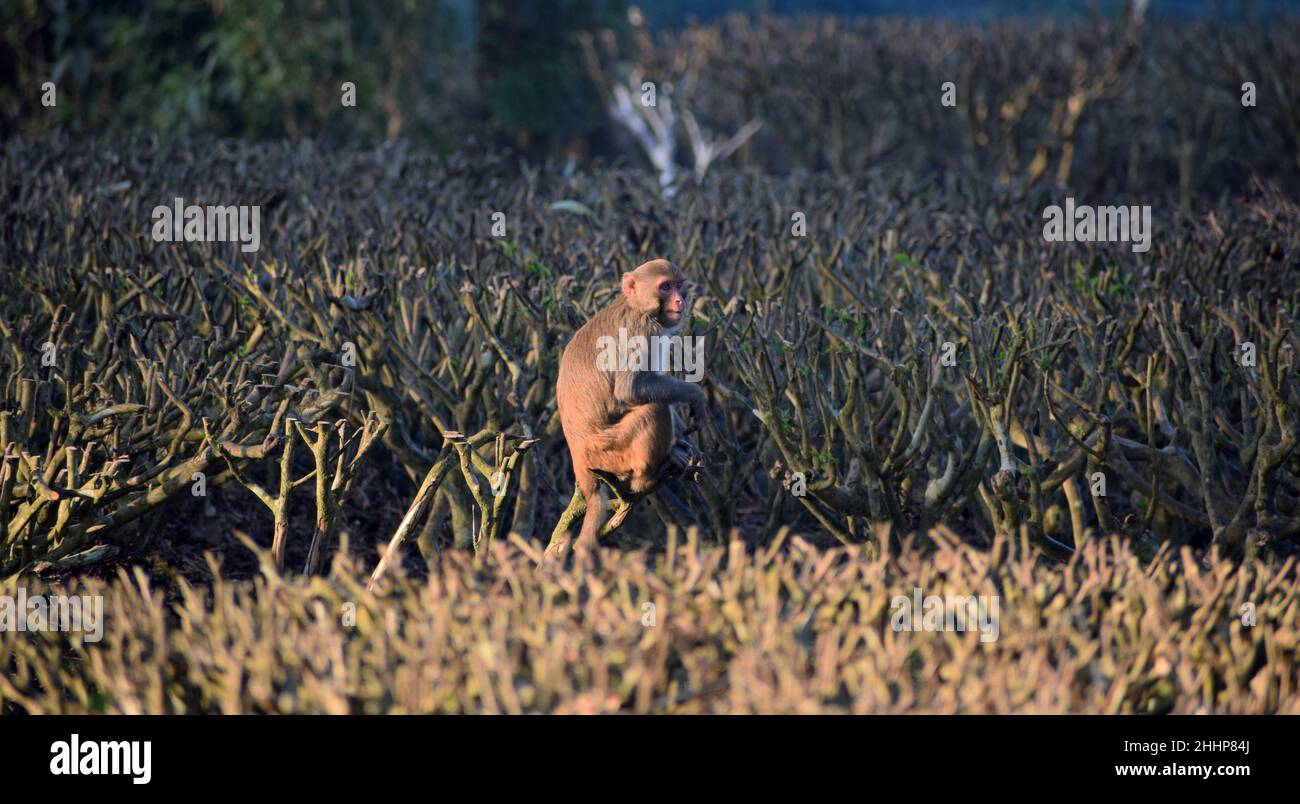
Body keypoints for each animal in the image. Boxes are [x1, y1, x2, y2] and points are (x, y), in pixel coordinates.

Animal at [549, 258, 705, 558]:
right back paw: (646, 478)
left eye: (678, 285)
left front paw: (684, 441)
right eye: (665, 287)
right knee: (653, 409)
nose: (679, 299)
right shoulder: (642, 331)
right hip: (610, 452)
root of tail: (579, 460)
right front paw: (696, 395)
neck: (637, 306)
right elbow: (630, 390)